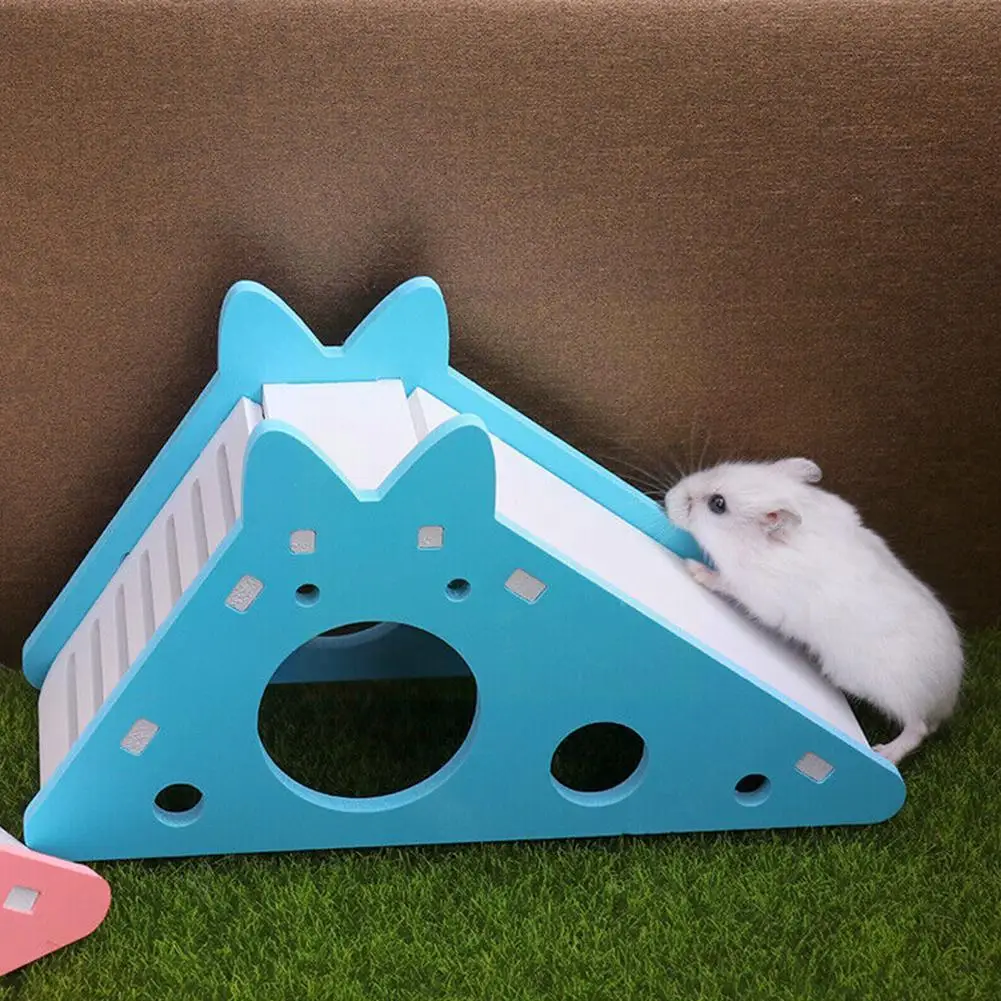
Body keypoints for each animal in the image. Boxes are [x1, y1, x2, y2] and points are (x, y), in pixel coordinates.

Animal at [664, 458, 963, 765]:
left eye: (718, 504)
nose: (667, 498)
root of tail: (948, 694)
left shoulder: (753, 593)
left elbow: (721, 582)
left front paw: (692, 568)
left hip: (894, 691)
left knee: (918, 728)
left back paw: (884, 753)